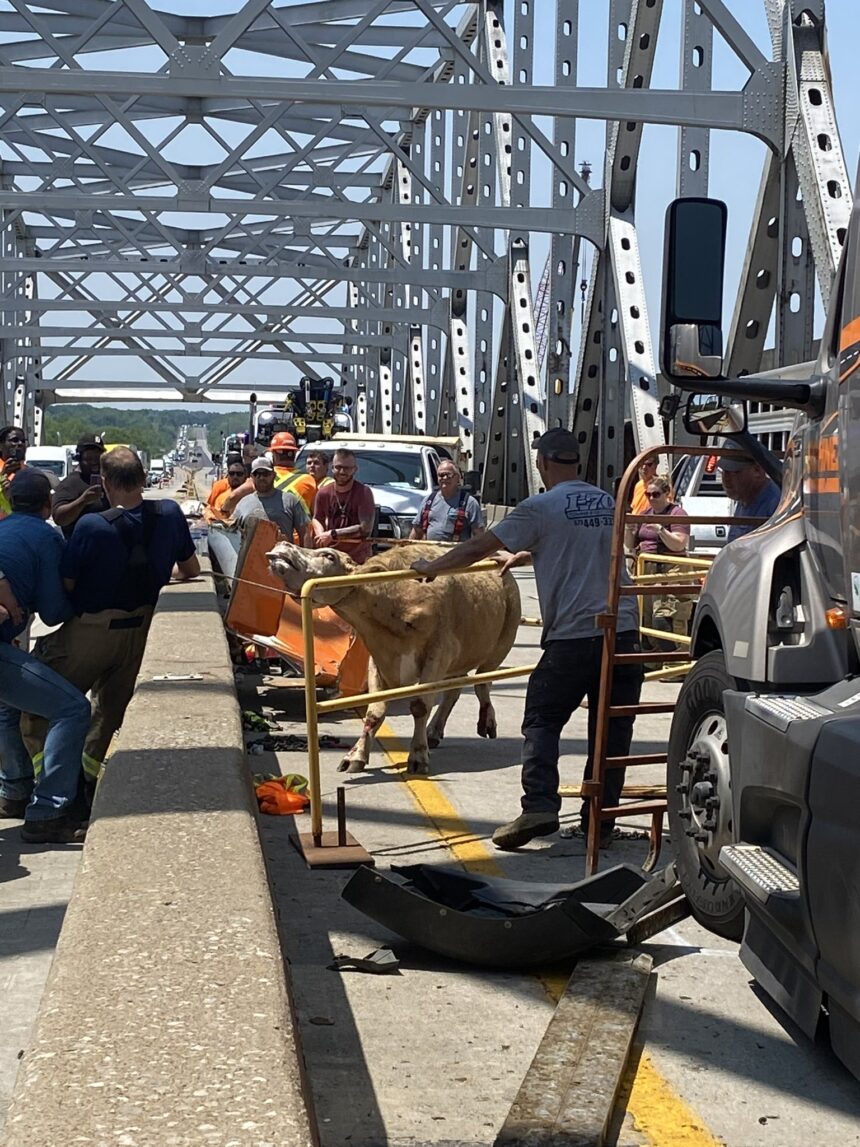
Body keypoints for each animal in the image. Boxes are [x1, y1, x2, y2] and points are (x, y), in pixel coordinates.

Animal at [266, 541, 522, 775]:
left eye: (329, 556)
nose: (283, 544)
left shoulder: (440, 652)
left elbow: (420, 706)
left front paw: (418, 755)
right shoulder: (378, 658)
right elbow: (374, 712)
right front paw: (356, 756)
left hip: (503, 641)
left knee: (482, 683)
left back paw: (486, 719)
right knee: (455, 690)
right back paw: (434, 731)